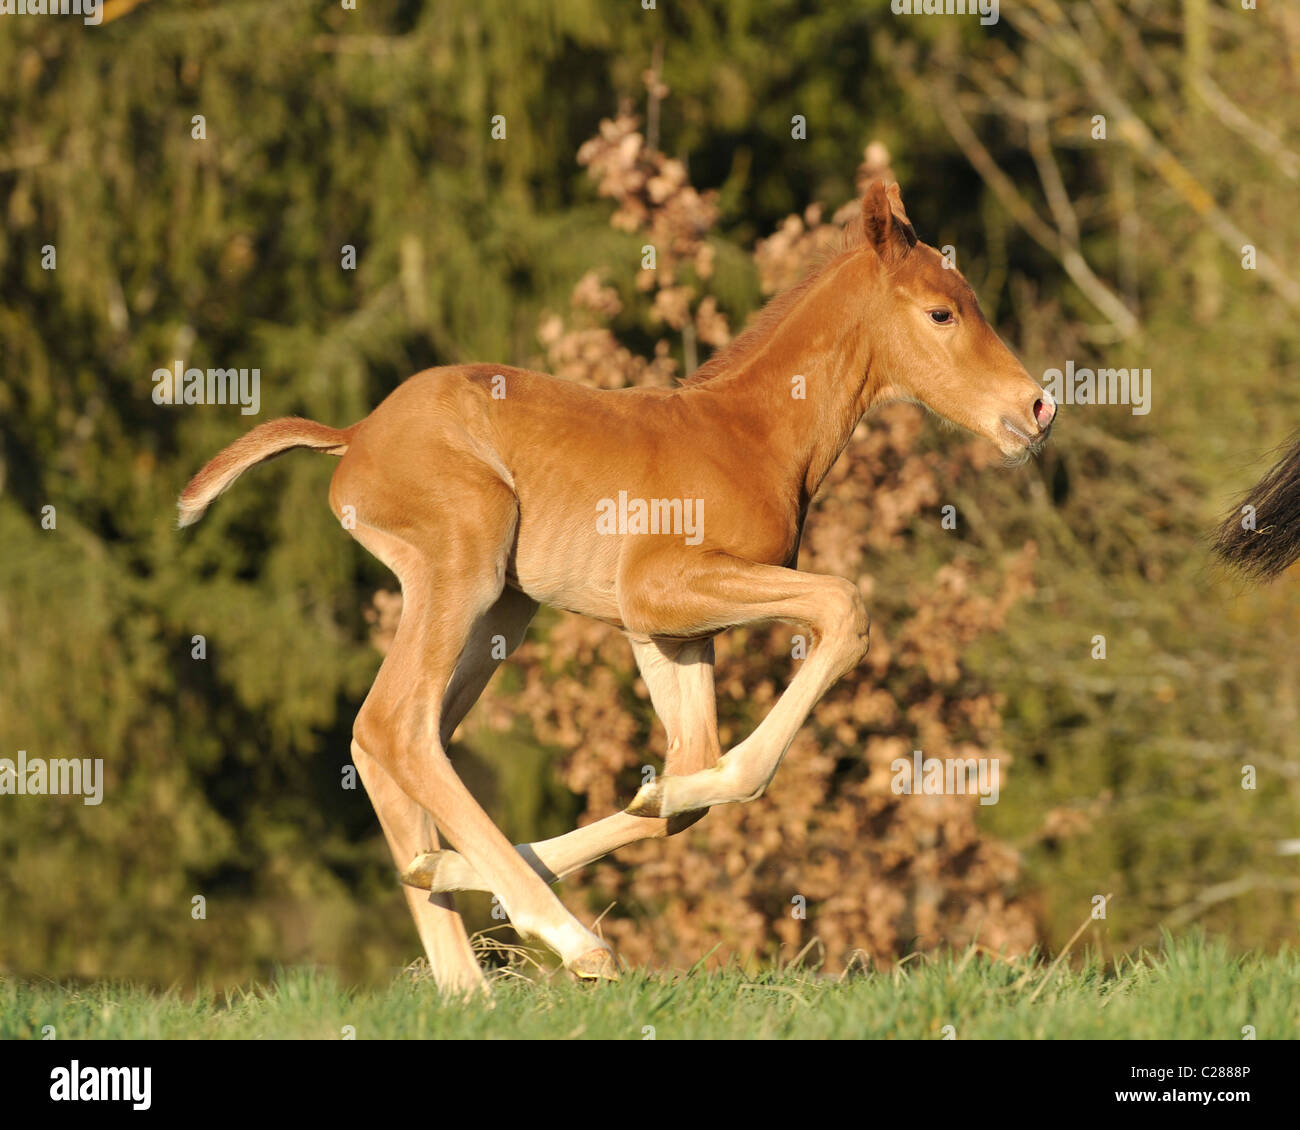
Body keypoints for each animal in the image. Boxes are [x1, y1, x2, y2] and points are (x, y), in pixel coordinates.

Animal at [178, 180, 1056, 994]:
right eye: (942, 313)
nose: (1039, 406)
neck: (751, 433)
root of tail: (354, 436)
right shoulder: (661, 585)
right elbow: (839, 614)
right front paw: (612, 832)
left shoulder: (667, 630)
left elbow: (691, 771)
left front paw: (636, 805)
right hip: (463, 564)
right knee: (397, 725)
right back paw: (568, 941)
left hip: (502, 608)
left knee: (384, 738)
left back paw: (463, 973)